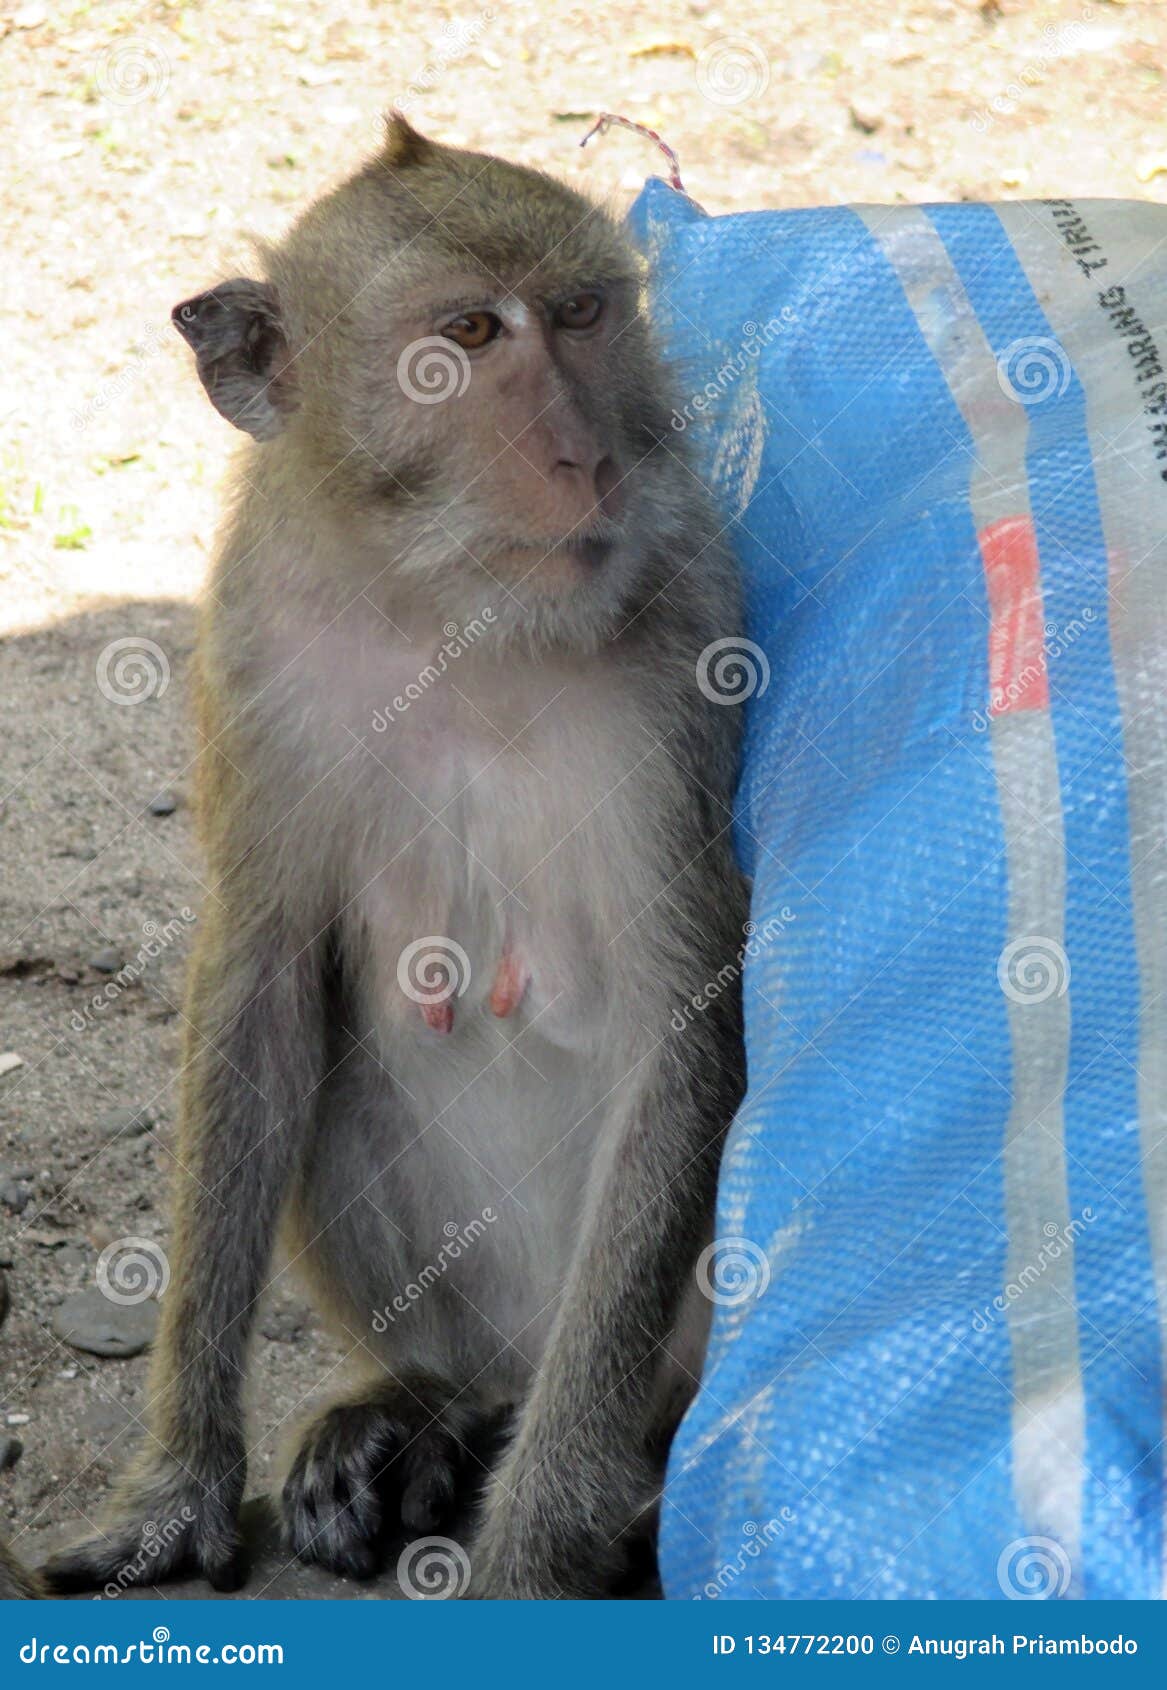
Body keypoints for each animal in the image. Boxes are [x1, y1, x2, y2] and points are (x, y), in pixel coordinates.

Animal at [43, 113, 747, 1600]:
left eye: (583, 315)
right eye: (468, 336)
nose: (584, 457)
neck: (449, 608)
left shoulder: (680, 643)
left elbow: (683, 1020)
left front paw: (529, 1554)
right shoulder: (254, 633)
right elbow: (260, 979)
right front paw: (178, 1486)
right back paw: (421, 1412)